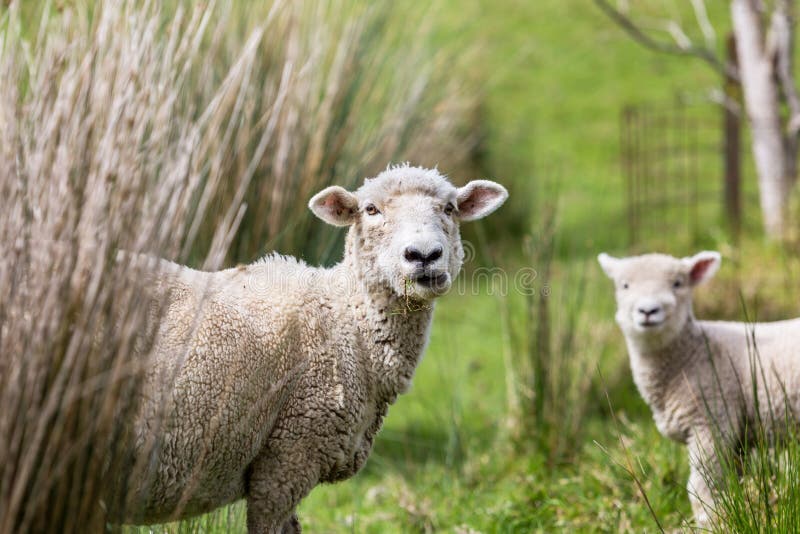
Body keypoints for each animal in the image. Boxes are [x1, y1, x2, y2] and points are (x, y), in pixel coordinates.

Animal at [598, 250, 800, 526]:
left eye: (677, 283)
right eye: (624, 285)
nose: (648, 310)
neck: (690, 354)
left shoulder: (711, 420)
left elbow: (702, 485)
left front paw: (711, 522)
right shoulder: (736, 436)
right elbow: (734, 482)